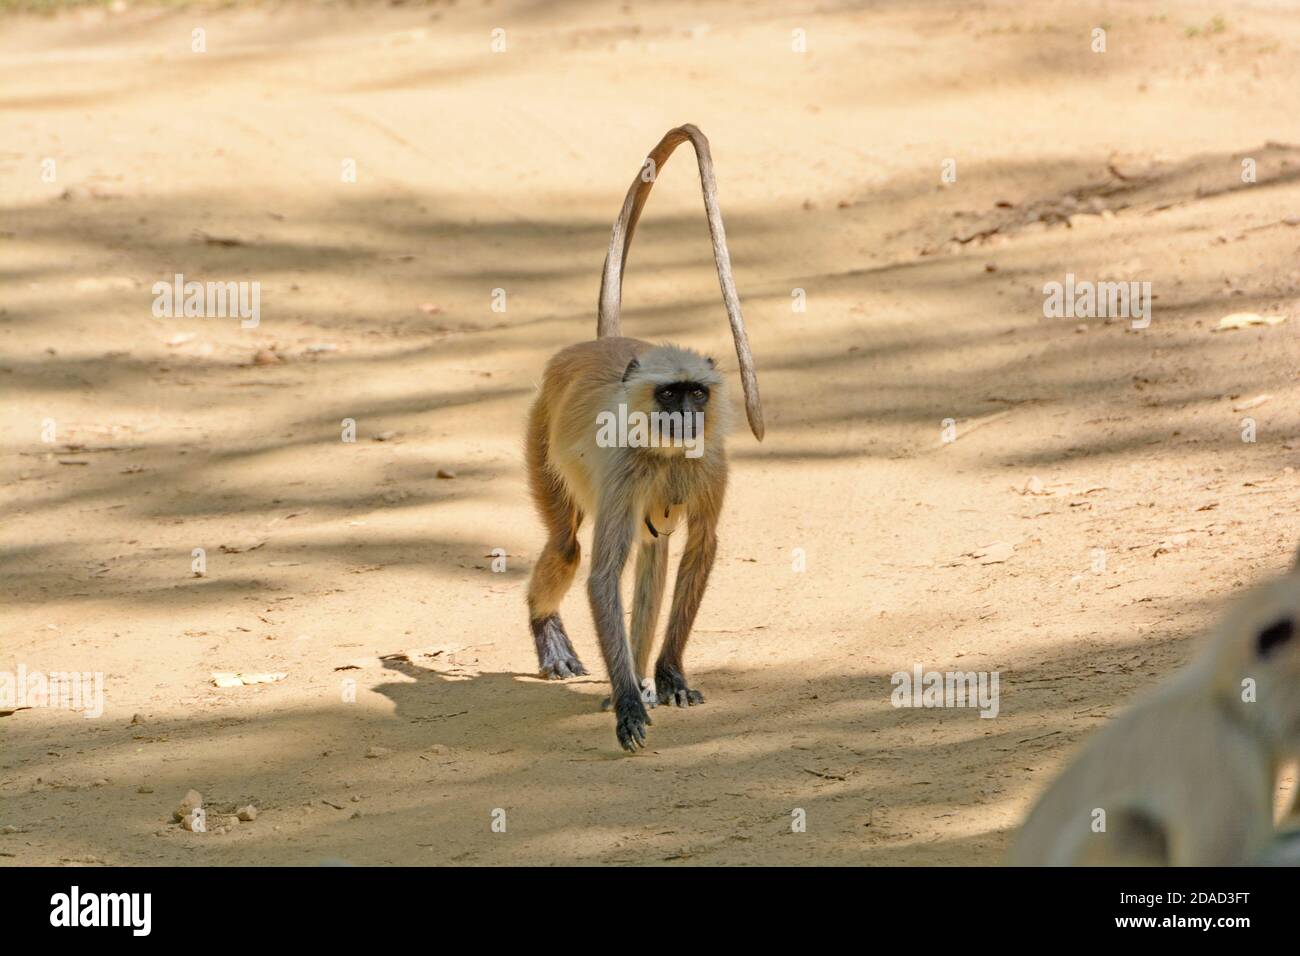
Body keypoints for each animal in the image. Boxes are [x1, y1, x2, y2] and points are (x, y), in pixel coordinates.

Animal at [524, 125, 763, 752]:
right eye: (669, 395)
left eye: (696, 394)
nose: (685, 417)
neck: (668, 451)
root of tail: (596, 346)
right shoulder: (626, 467)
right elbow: (603, 572)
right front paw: (629, 702)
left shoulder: (712, 462)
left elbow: (700, 545)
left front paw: (668, 675)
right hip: (539, 431)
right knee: (569, 545)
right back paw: (565, 644)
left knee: (655, 553)